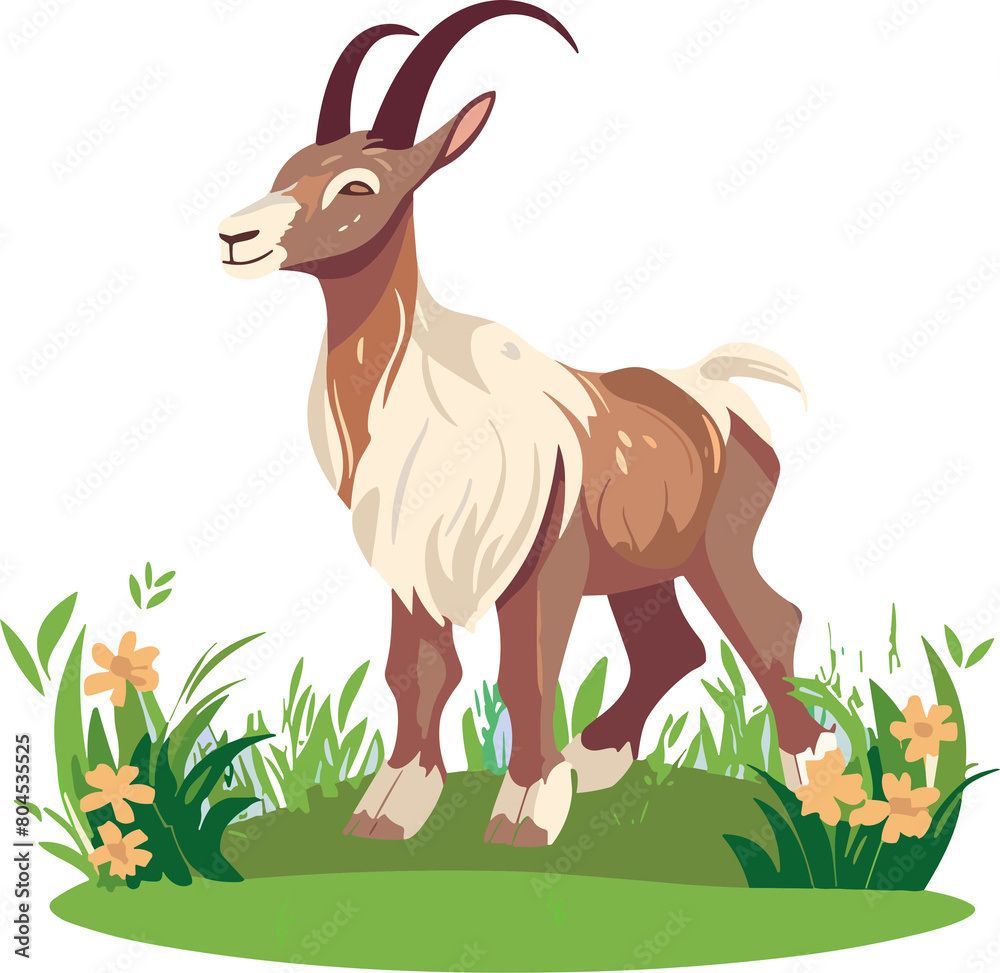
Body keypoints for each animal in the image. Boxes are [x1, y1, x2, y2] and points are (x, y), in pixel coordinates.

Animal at [219, 1, 834, 847]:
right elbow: (418, 669)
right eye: (288, 170)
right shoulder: (412, 562)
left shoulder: (540, 565)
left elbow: (528, 673)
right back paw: (598, 758)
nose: (235, 238)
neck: (415, 385)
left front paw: (525, 812)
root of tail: (713, 386)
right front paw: (390, 805)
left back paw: (818, 783)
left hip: (717, 546)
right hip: (640, 567)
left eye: (357, 185)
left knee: (769, 622)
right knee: (670, 645)